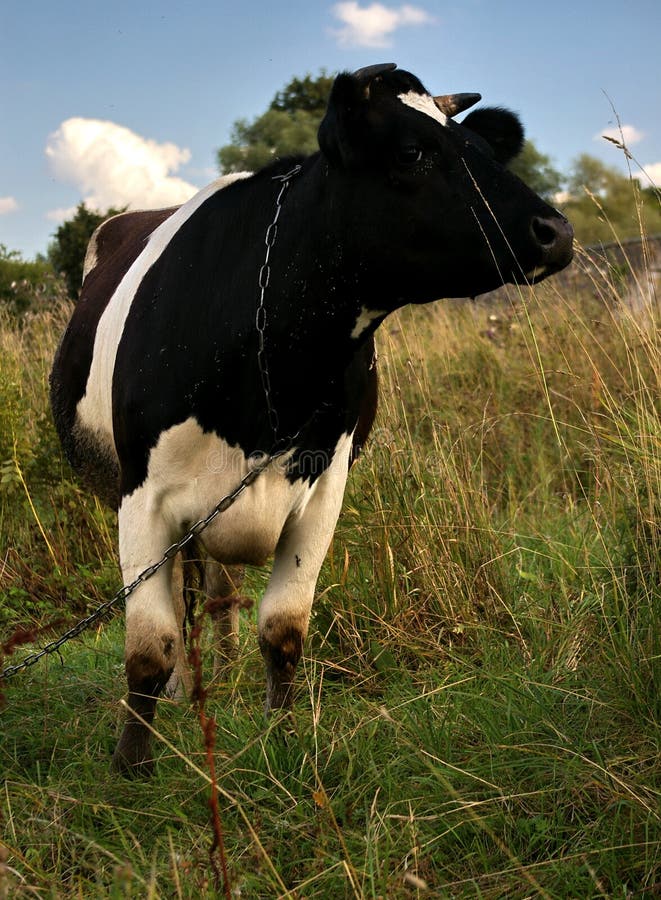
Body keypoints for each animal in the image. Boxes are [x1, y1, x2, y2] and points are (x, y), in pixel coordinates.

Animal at [49, 63, 573, 775]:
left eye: (484, 149)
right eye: (413, 154)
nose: (558, 232)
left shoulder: (324, 487)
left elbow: (283, 628)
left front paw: (283, 739)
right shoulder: (142, 497)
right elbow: (148, 646)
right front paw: (132, 767)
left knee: (215, 595)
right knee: (186, 602)